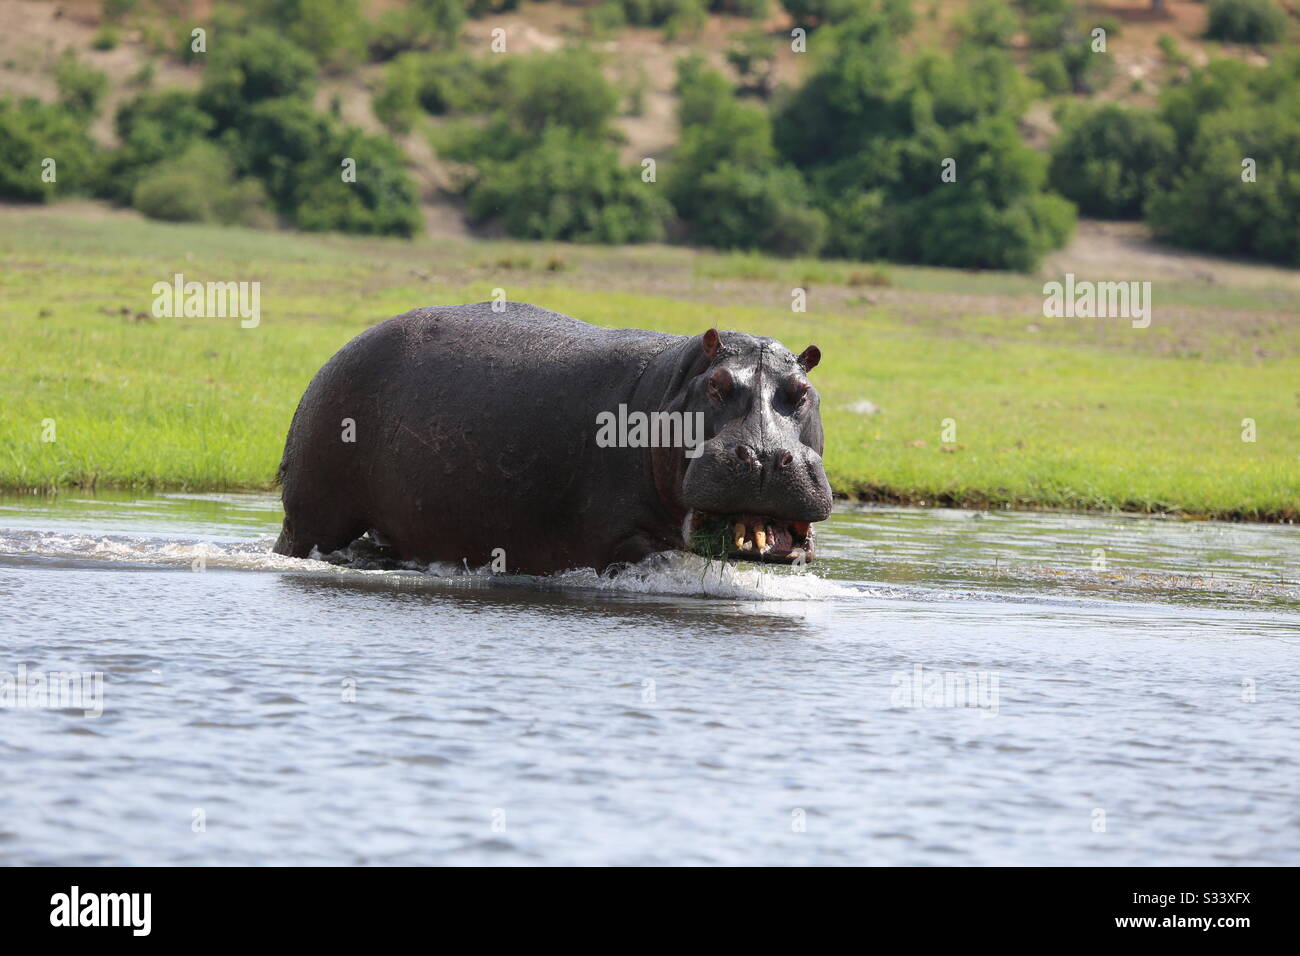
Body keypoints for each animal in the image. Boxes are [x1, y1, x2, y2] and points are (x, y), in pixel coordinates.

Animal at [272, 302, 832, 574]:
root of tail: (341, 349)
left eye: (802, 390)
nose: (764, 455)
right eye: (716, 386)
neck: (677, 382)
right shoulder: (618, 536)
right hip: (314, 512)